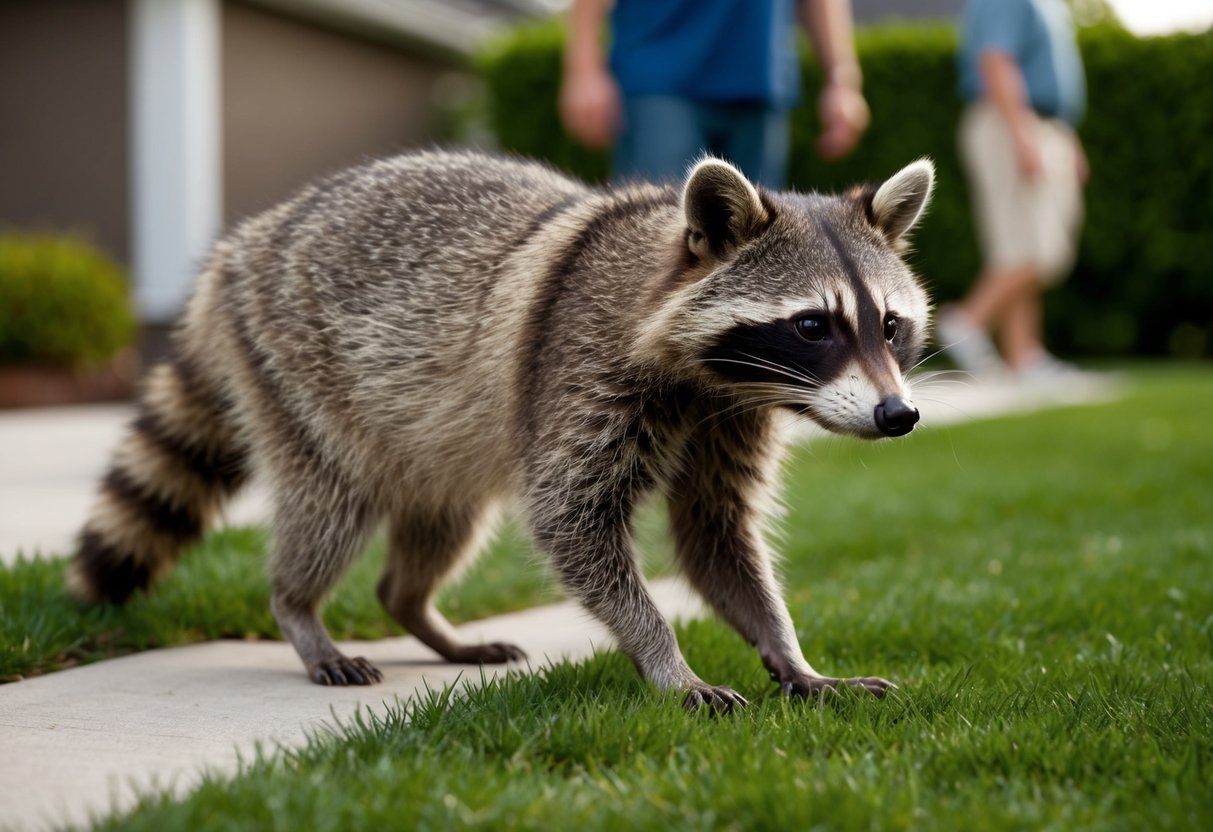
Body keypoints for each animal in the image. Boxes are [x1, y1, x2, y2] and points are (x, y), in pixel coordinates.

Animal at [70, 150, 934, 711]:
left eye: (890, 326)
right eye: (813, 325)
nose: (898, 416)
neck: (712, 377)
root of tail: (237, 251)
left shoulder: (731, 416)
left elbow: (715, 532)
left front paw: (789, 655)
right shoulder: (580, 368)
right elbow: (570, 518)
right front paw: (664, 658)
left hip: (429, 442)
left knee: (440, 524)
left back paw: (417, 610)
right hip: (293, 368)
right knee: (331, 505)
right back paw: (298, 610)